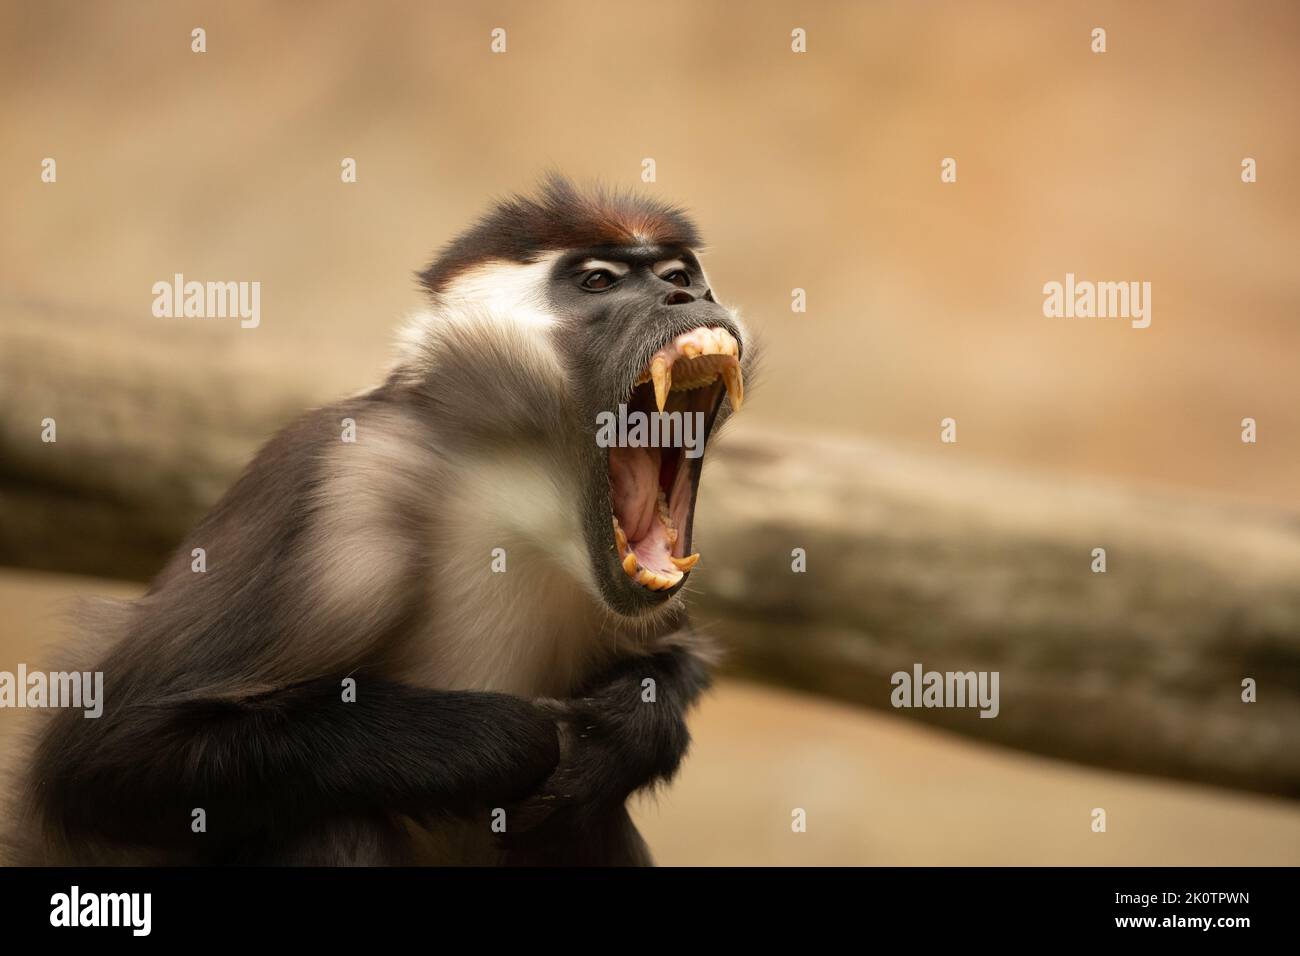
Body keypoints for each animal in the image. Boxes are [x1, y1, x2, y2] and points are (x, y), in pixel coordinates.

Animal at [3, 175, 753, 866]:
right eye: (598, 281)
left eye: (678, 275)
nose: (687, 299)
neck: (518, 501)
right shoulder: (344, 499)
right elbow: (99, 759)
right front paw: (506, 740)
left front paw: (623, 736)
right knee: (335, 819)